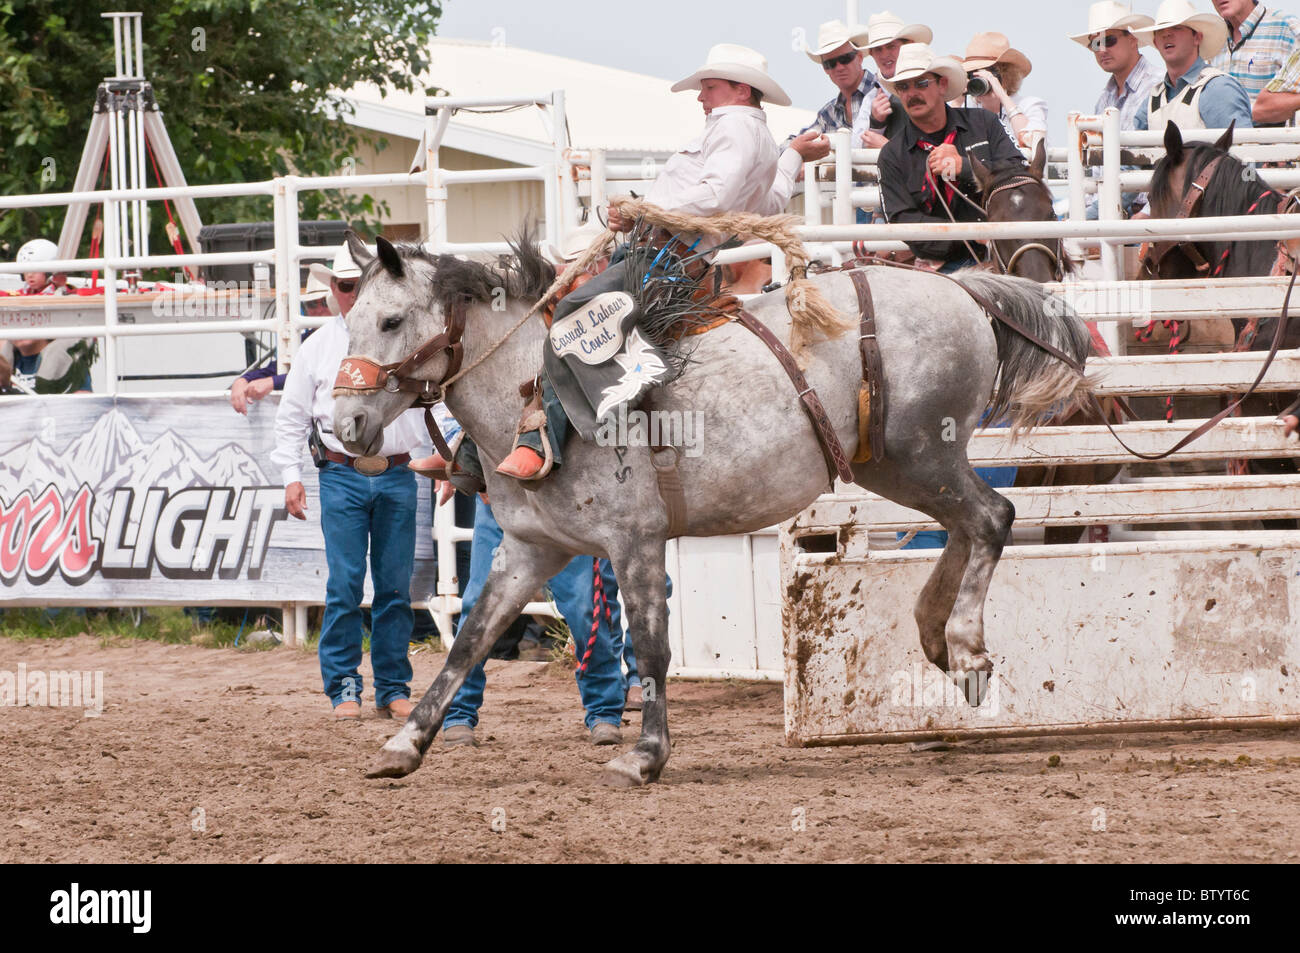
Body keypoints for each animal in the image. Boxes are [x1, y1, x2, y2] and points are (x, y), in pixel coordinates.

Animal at [332, 228, 1093, 786]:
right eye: (350, 321)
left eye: (392, 320)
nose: (346, 426)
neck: (538, 397)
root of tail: (961, 288)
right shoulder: (529, 549)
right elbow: (469, 639)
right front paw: (404, 743)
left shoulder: (634, 539)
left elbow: (649, 646)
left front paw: (644, 755)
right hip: (896, 466)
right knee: (969, 524)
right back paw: (941, 635)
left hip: (923, 454)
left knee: (991, 517)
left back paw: (964, 644)